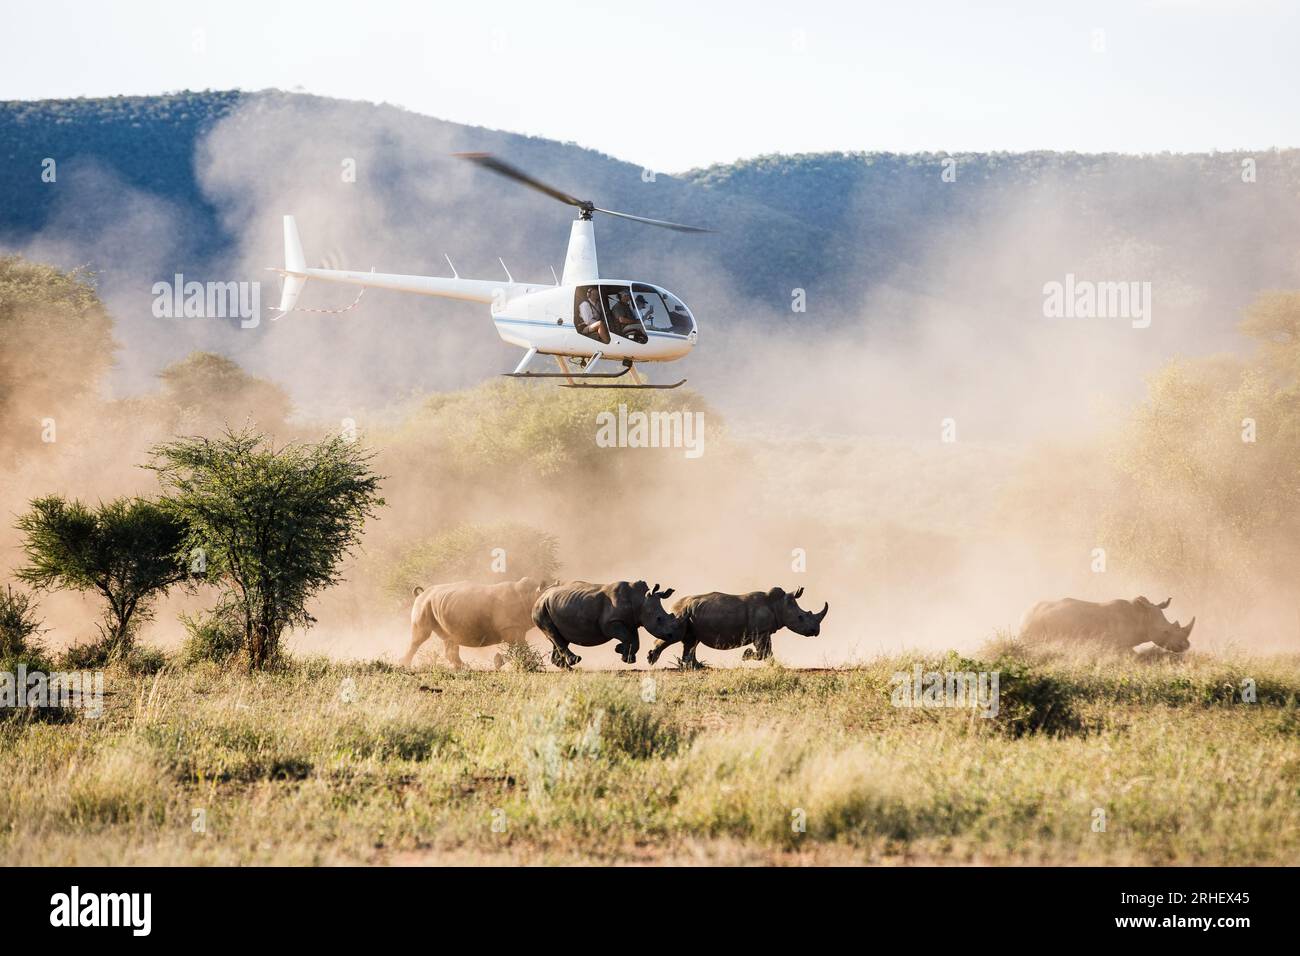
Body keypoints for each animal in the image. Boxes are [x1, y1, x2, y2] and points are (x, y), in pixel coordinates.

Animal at [400, 577, 550, 669]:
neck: (531, 596)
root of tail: (421, 593)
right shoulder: (510, 628)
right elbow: (521, 648)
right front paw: (531, 666)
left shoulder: (515, 628)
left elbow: (518, 648)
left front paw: (498, 662)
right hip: (424, 604)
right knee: (421, 637)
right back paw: (403, 666)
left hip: (440, 606)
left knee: (450, 639)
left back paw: (465, 668)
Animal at [531, 580, 683, 668]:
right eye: (659, 619)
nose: (672, 635)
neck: (640, 599)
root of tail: (541, 595)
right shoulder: (611, 622)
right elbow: (628, 638)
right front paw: (621, 651)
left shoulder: (631, 622)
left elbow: (635, 641)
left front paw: (626, 656)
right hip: (541, 609)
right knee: (554, 635)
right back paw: (575, 661)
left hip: (552, 606)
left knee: (560, 637)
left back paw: (568, 668)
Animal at [646, 586, 829, 668]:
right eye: (800, 617)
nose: (816, 631)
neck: (779, 605)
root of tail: (673, 605)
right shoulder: (760, 632)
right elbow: (764, 652)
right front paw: (746, 656)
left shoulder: (764, 632)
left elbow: (767, 651)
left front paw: (775, 665)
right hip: (681, 613)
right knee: (676, 636)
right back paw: (651, 660)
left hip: (691, 614)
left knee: (691, 641)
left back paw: (698, 667)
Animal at [1019, 595, 1194, 653]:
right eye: (1165, 632)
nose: (1186, 646)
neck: (1141, 617)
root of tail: (1026, 613)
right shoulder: (1117, 645)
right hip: (1035, 626)